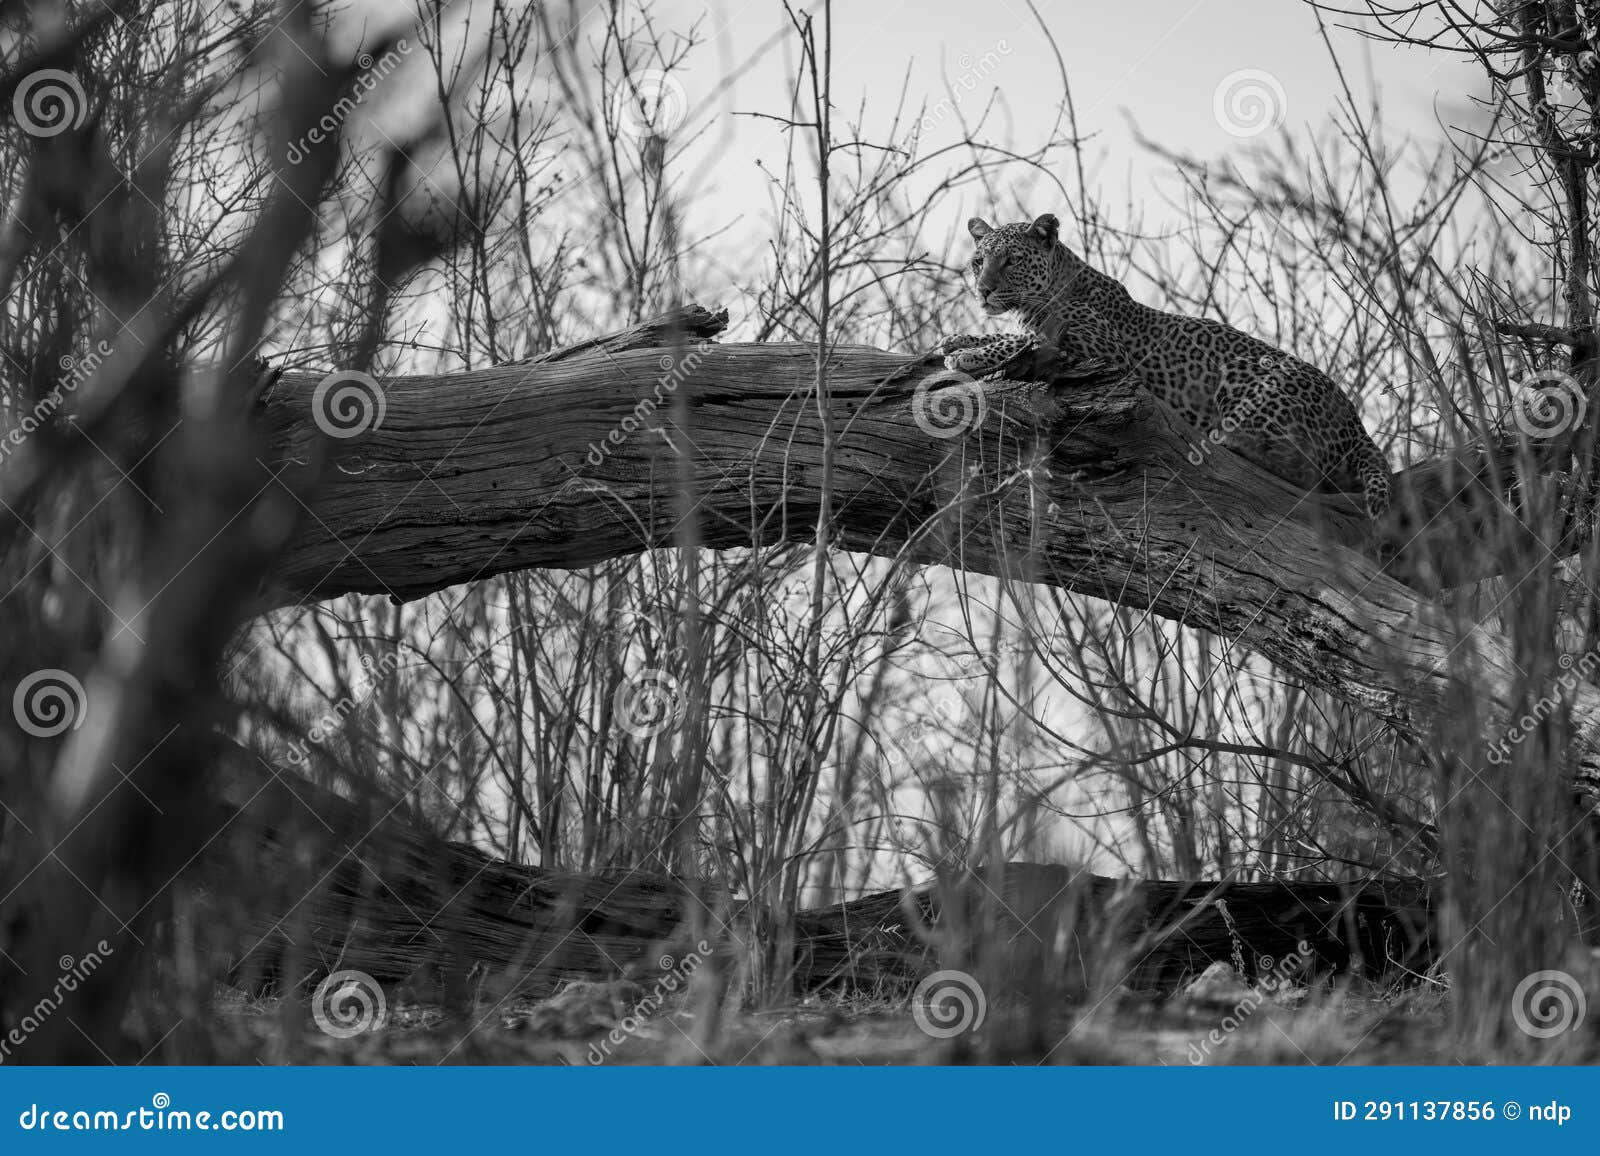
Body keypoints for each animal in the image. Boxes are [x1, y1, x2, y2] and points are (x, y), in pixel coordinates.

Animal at [937, 212, 1392, 517]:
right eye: (978, 261)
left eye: (1011, 261)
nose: (982, 290)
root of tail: (1356, 422)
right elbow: (1006, 334)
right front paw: (959, 339)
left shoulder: (1103, 349)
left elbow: (1023, 339)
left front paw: (967, 354)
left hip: (1250, 376)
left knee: (1302, 470)